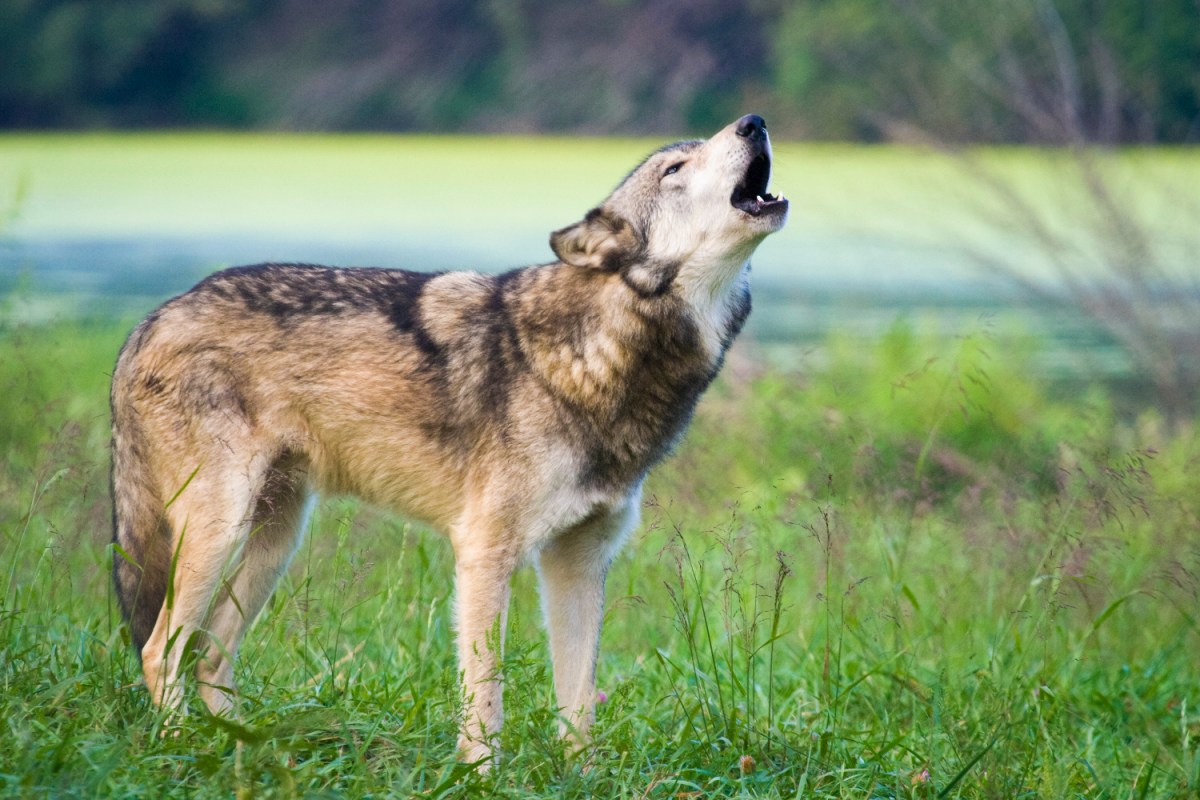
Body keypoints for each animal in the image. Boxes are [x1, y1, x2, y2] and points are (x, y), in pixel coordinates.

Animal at [110, 114, 788, 764]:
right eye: (676, 167)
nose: (754, 121)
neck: (596, 352)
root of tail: (150, 320)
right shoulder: (486, 554)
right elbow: (487, 697)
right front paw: (480, 777)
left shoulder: (578, 561)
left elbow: (578, 706)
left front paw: (580, 776)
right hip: (219, 532)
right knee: (159, 650)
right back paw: (183, 750)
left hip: (276, 541)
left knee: (211, 656)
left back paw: (244, 751)